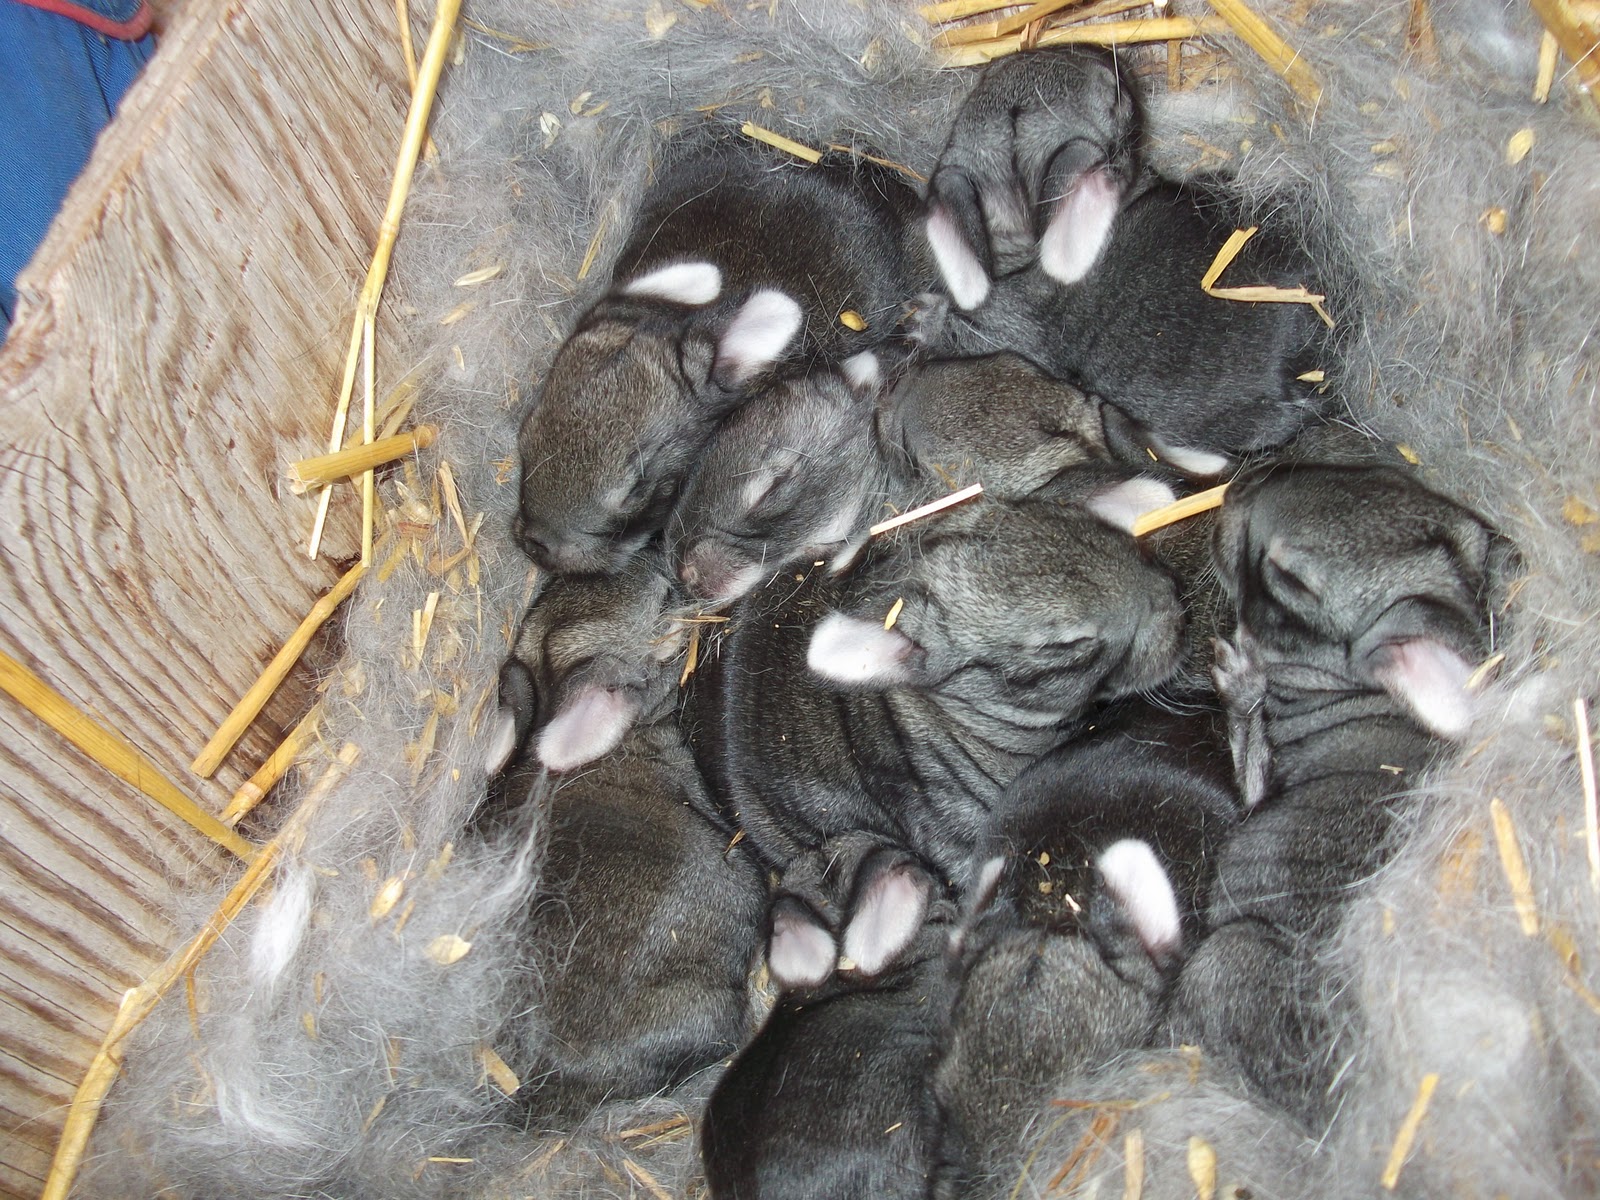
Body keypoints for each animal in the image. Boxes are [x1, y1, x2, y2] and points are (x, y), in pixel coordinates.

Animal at [1164, 462, 1509, 1128]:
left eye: (1291, 579)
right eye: (1375, 472)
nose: (1236, 493)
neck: (1353, 689)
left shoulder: (1260, 782)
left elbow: (1248, 753)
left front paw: (1236, 665)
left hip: (1224, 961)